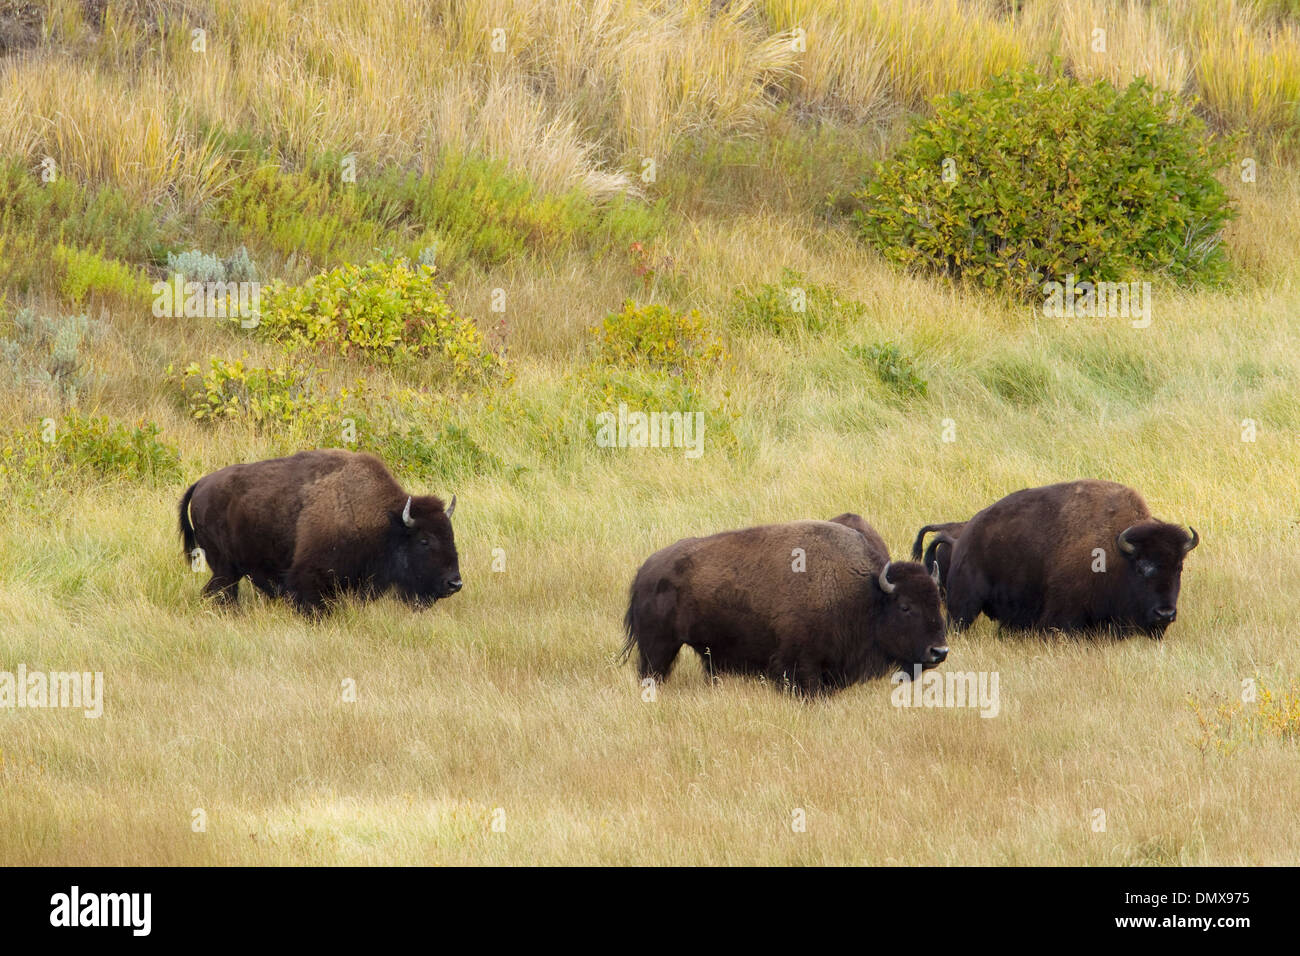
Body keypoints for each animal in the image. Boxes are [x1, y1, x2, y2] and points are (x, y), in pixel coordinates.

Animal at [178, 449, 462, 612]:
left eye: (451, 536)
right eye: (424, 541)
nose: (455, 583)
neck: (385, 521)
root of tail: (201, 484)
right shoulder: (309, 579)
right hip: (225, 569)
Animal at [621, 515, 947, 695]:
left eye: (937, 601)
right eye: (905, 606)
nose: (939, 651)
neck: (865, 593)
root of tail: (646, 571)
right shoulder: (800, 667)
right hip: (658, 650)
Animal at [935, 479, 1198, 636]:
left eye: (1179, 568)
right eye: (1142, 567)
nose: (1165, 614)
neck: (1118, 555)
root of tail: (964, 537)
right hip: (963, 608)